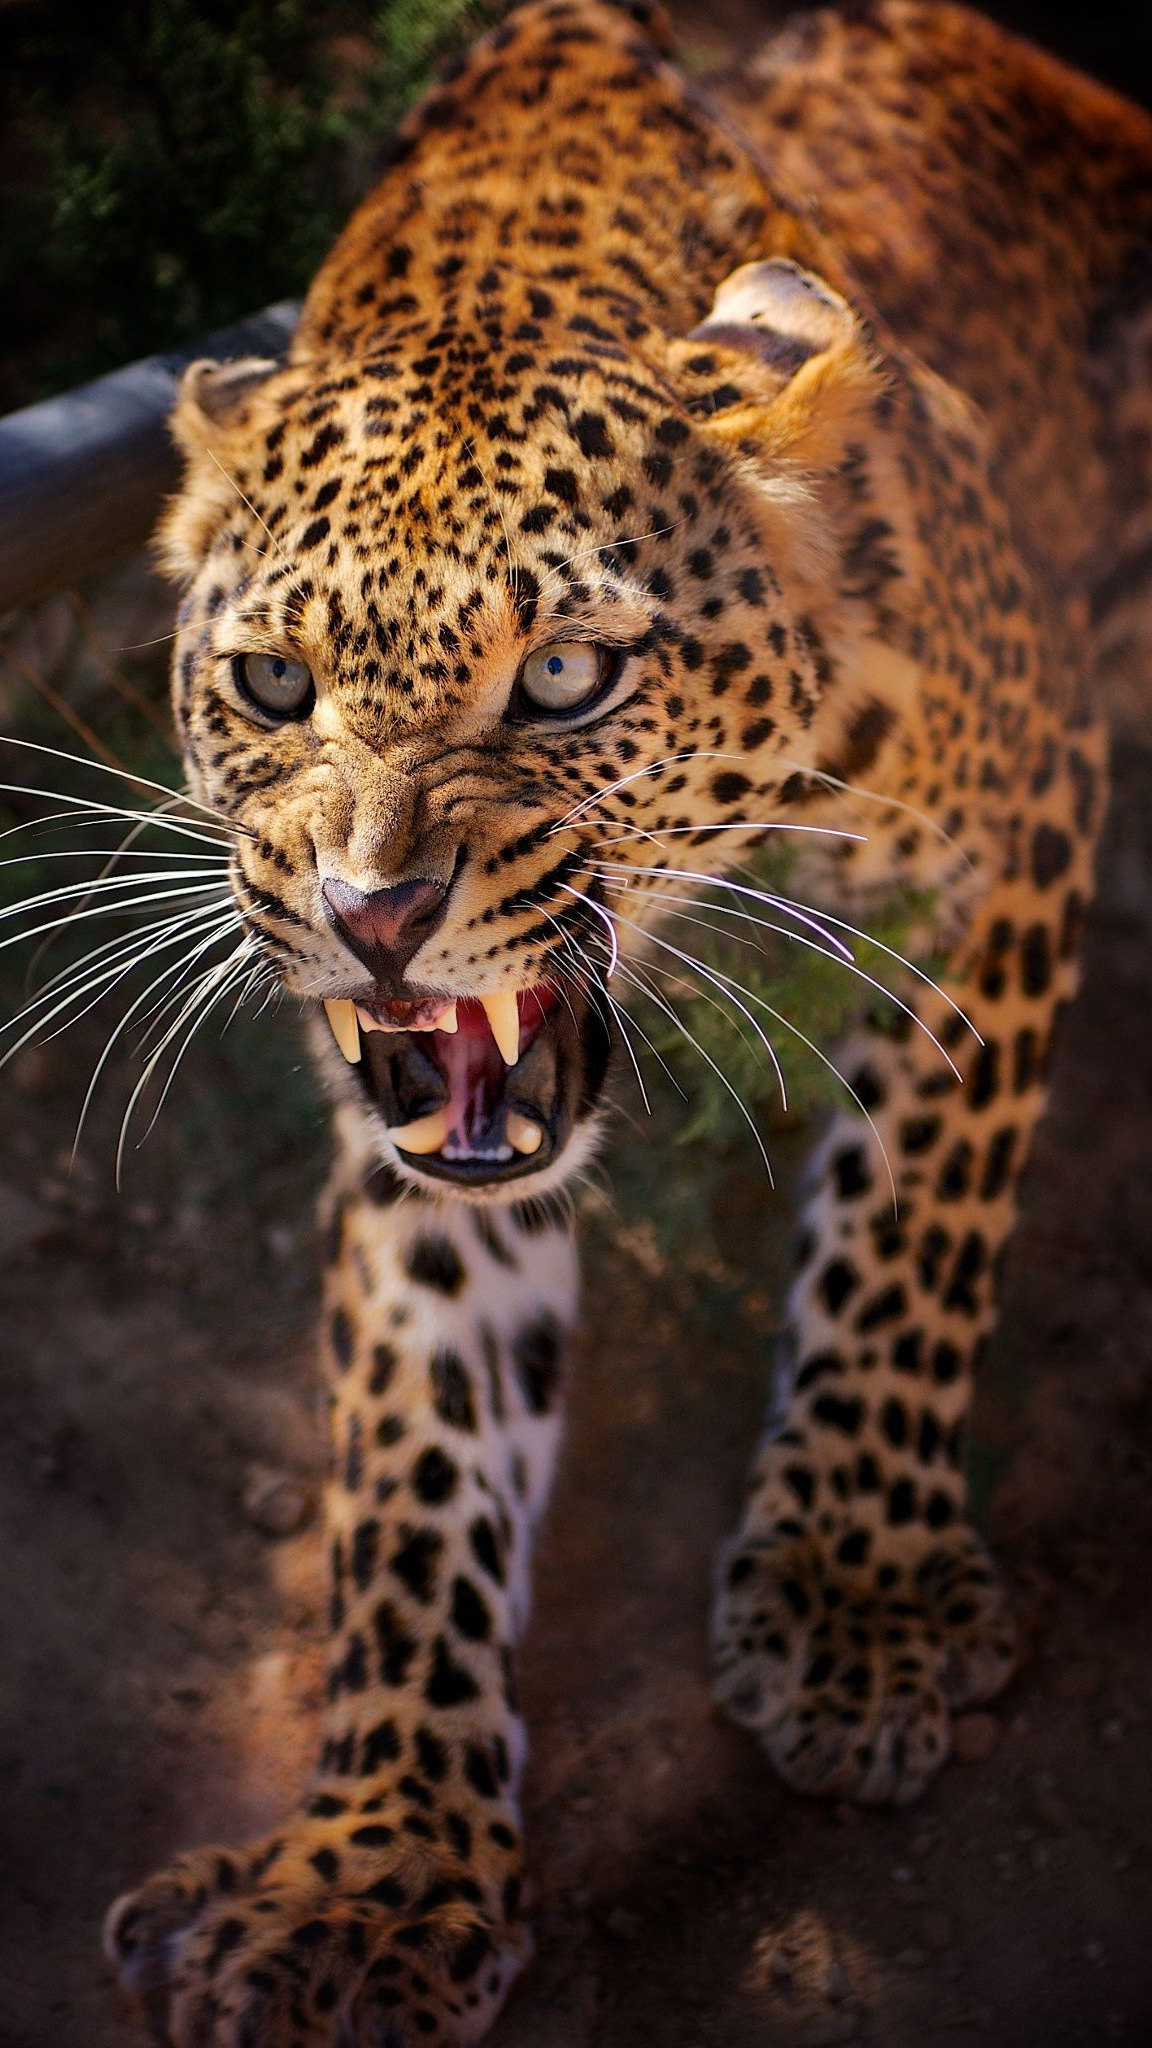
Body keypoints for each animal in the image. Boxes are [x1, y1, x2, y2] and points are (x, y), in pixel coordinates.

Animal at [89, 1, 1152, 2041]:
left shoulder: (1016, 819)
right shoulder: (415, 1126)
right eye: (271, 683)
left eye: (569, 675)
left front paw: (856, 1599)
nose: (373, 916)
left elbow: (911, 1227)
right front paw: (376, 1869)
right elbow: (416, 1456)